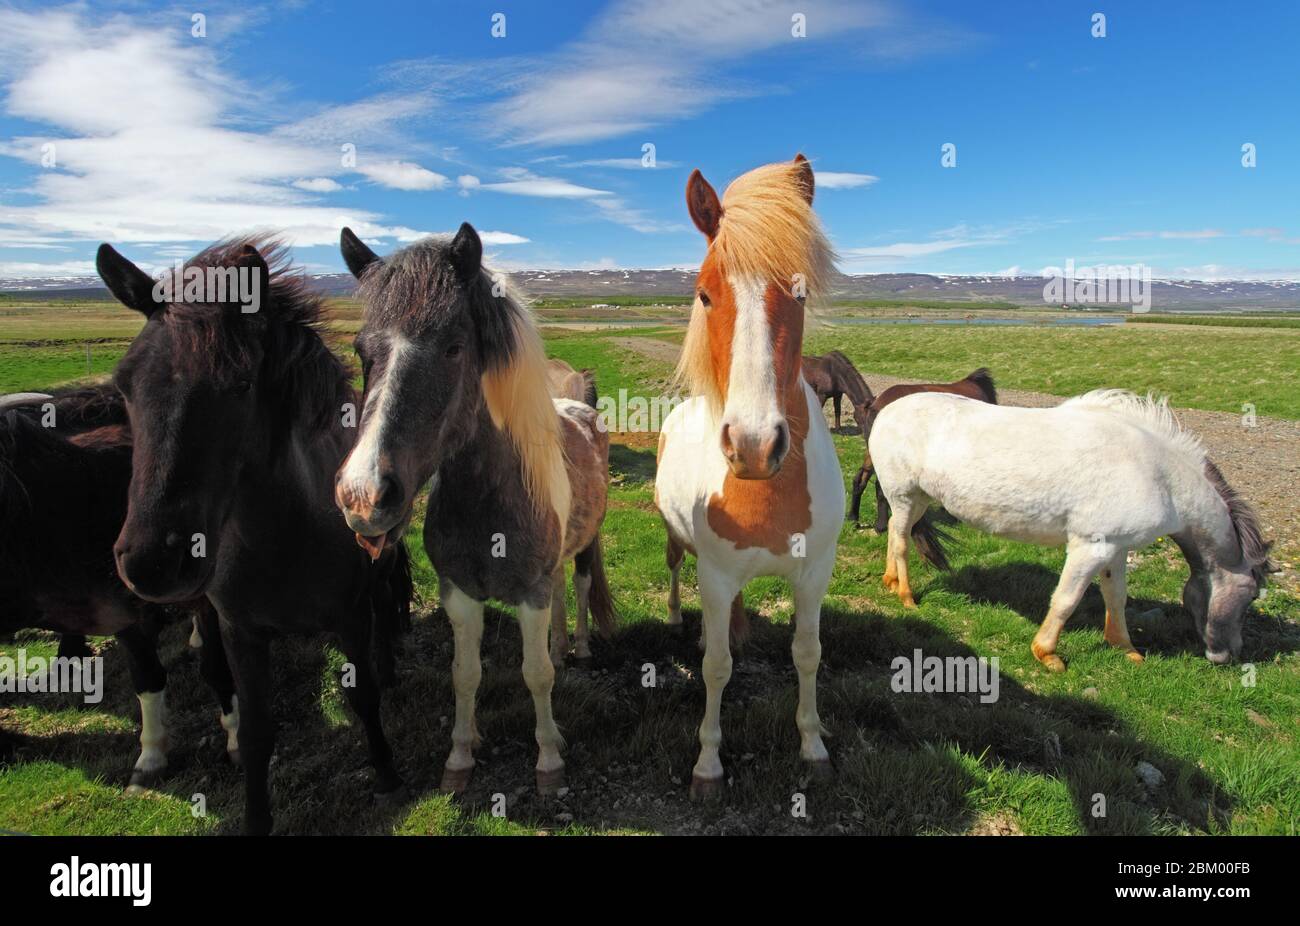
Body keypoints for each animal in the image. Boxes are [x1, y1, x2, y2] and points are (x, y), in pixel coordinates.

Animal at [0, 385, 237, 788]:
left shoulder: (205, 597)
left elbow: (218, 668)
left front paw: (236, 738)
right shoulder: (118, 611)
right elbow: (146, 676)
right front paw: (151, 756)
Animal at [95, 236, 412, 834]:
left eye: (240, 385)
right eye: (124, 384)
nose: (151, 562)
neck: (283, 538)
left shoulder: (349, 615)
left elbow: (363, 697)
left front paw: (386, 773)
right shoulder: (240, 631)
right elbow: (258, 730)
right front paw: (256, 815)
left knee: (387, 598)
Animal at [335, 222, 615, 796]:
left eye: (454, 347)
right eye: (360, 350)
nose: (363, 496)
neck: (490, 504)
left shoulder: (529, 594)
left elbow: (535, 675)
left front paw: (549, 760)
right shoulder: (459, 594)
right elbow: (464, 675)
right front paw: (460, 757)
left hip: (584, 547)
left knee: (576, 589)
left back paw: (577, 649)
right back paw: (560, 647)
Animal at [654, 154, 845, 799]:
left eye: (800, 291)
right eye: (704, 295)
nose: (756, 446)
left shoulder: (814, 574)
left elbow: (808, 653)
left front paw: (813, 744)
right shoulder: (713, 576)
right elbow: (714, 668)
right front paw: (708, 764)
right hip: (678, 546)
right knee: (676, 569)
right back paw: (675, 616)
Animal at [869, 389, 1274, 670]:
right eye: (1251, 595)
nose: (1229, 655)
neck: (1159, 473)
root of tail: (886, 409)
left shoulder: (1116, 549)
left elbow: (1116, 597)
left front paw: (1126, 648)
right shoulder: (1089, 548)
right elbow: (1065, 600)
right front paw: (1047, 654)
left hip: (918, 499)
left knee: (895, 533)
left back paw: (889, 580)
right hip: (905, 496)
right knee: (901, 540)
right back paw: (905, 594)